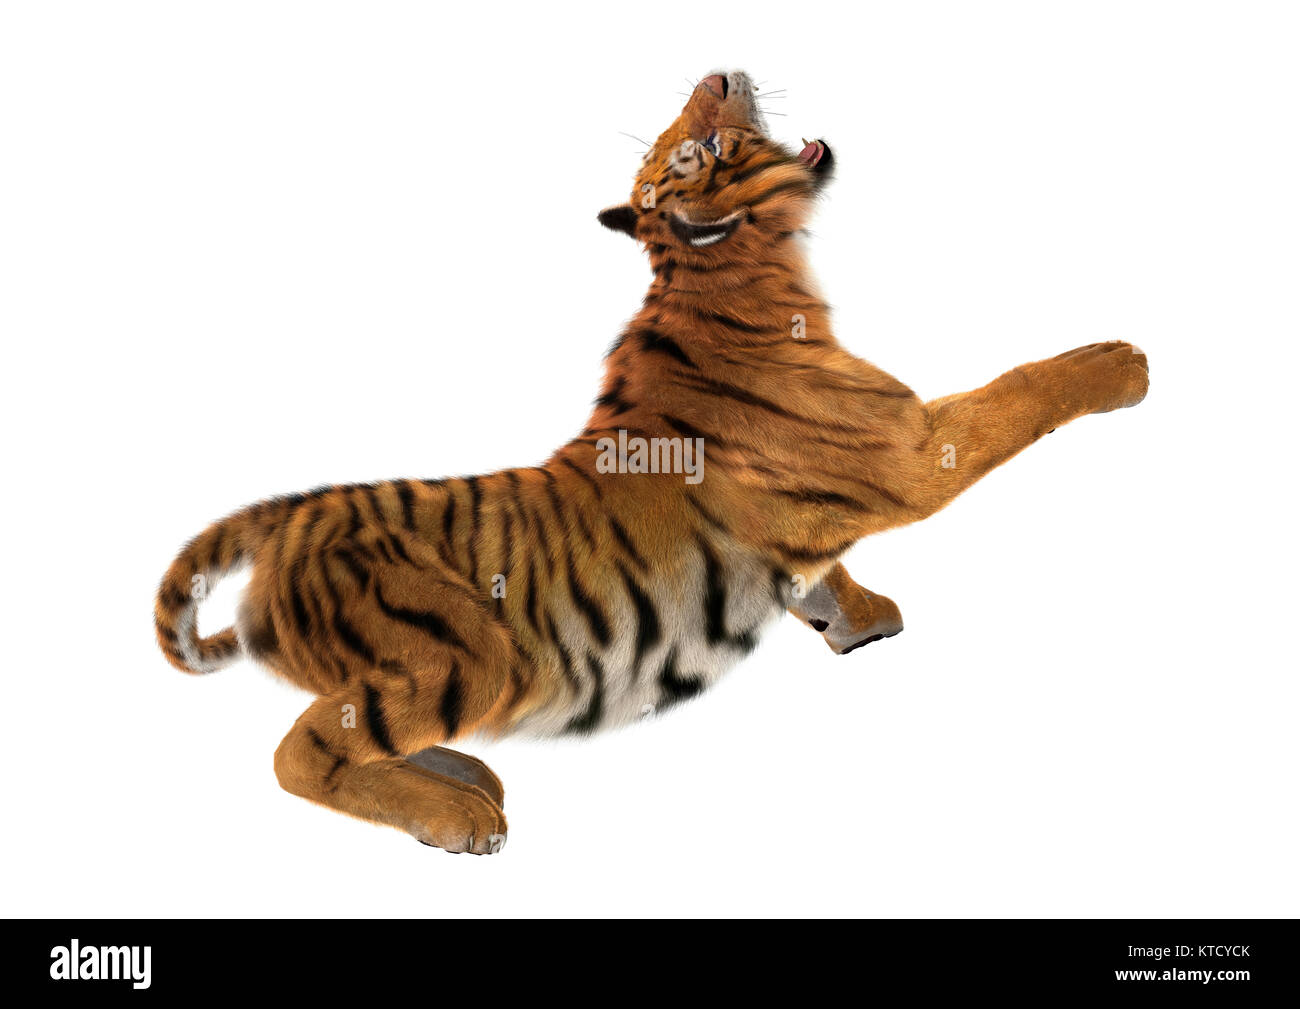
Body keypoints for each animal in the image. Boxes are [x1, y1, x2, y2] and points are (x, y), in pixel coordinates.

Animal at [154, 70, 1149, 854]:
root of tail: (289, 511)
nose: (717, 72)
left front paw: (858, 616)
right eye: (701, 148)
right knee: (303, 749)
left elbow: (820, 572)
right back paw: (460, 814)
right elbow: (1021, 389)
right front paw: (1123, 362)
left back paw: (468, 774)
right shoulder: (909, 450)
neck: (736, 277)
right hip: (473, 651)